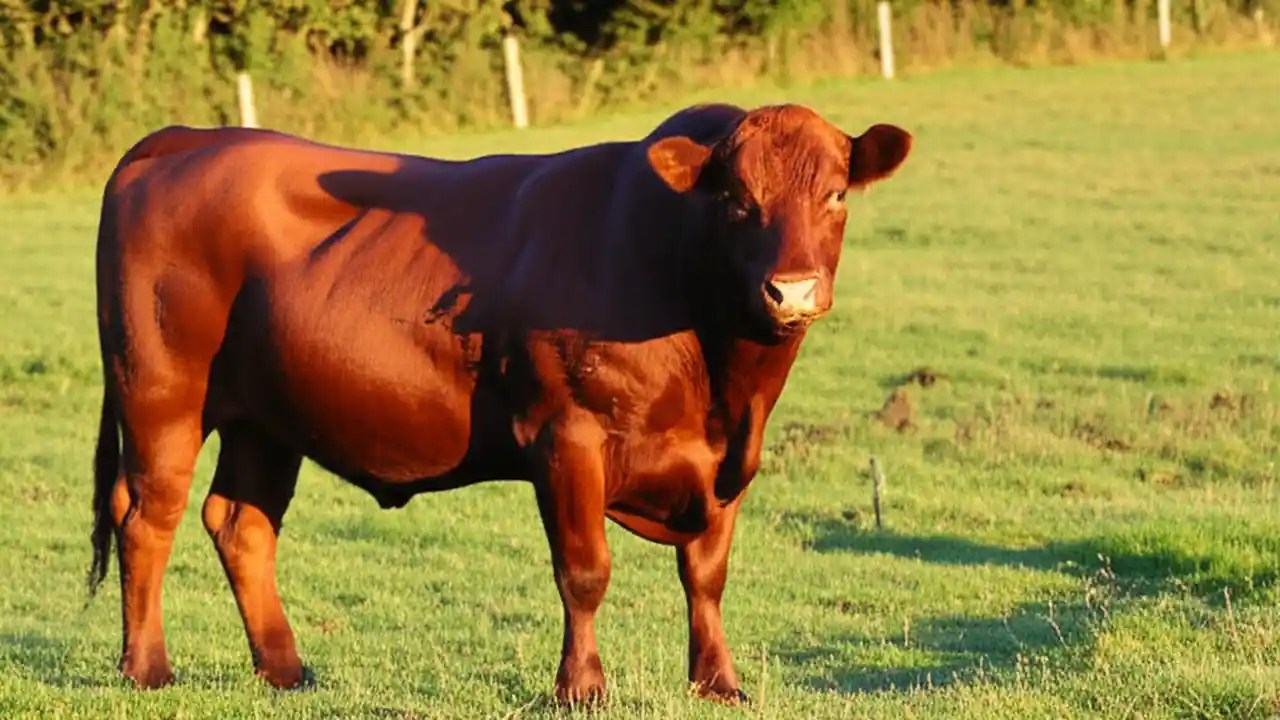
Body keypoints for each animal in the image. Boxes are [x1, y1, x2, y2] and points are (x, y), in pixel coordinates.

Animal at [88, 103, 911, 704]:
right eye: (738, 200)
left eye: (836, 194)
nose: (792, 291)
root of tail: (182, 139)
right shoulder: (566, 436)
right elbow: (584, 570)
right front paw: (582, 687)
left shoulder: (727, 460)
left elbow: (705, 574)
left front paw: (718, 682)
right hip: (161, 392)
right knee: (148, 515)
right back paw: (149, 668)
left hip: (266, 419)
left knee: (241, 523)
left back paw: (285, 670)